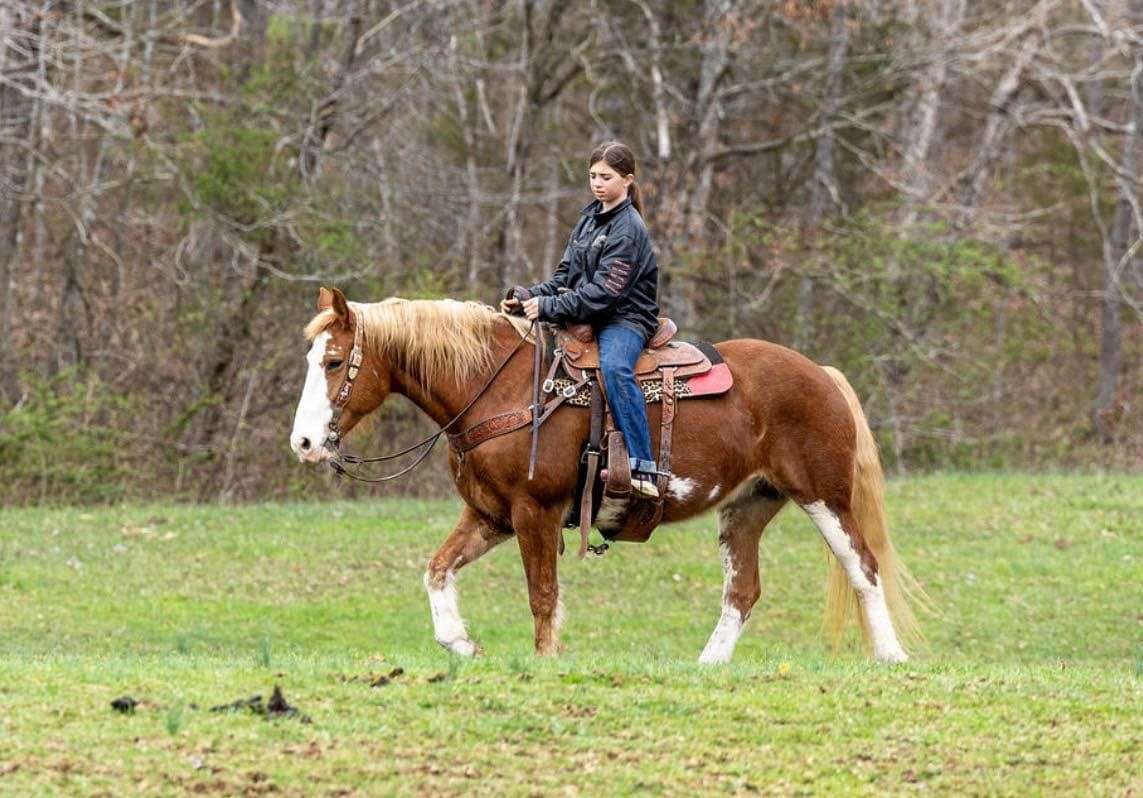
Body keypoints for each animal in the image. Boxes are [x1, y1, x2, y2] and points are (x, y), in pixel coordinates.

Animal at [289, 287, 923, 664]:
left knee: (864, 568)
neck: (502, 390)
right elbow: (437, 569)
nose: (304, 442)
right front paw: (461, 643)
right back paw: (708, 666)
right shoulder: (490, 515)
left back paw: (892, 657)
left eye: (333, 361)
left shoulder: (535, 512)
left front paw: (545, 661)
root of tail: (820, 372)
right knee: (742, 591)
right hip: (746, 506)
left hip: (824, 497)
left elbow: (542, 595)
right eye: (311, 358)